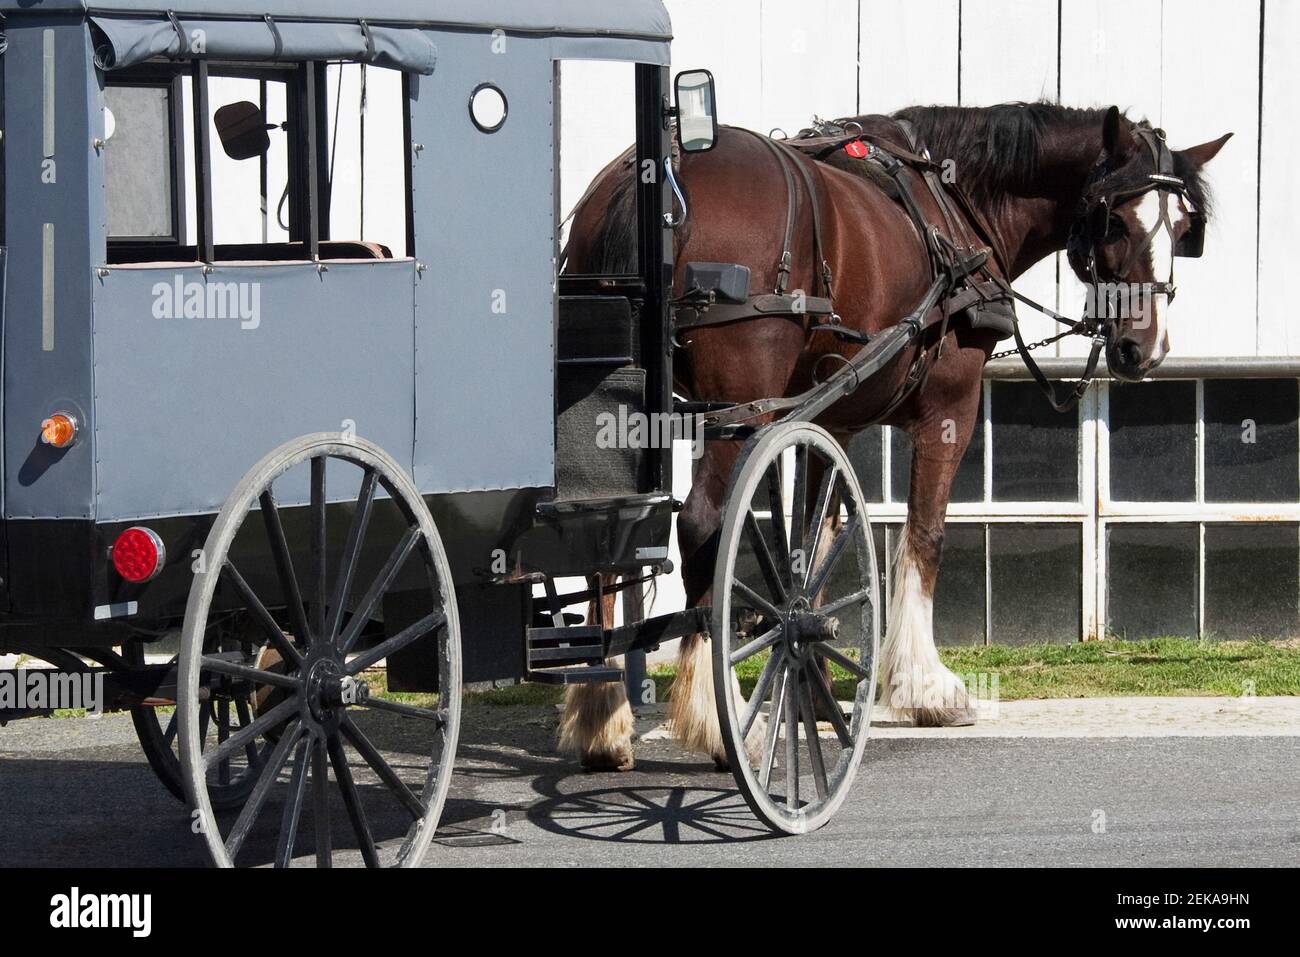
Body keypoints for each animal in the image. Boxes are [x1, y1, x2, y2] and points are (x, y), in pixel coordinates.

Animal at [558, 101, 1230, 771]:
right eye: (1114, 221)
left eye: (1183, 230)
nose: (1145, 349)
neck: (957, 203)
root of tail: (654, 171)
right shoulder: (950, 409)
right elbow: (924, 537)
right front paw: (926, 689)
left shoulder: (831, 418)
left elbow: (818, 539)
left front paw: (815, 678)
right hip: (737, 409)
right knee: (702, 520)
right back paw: (717, 727)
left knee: (604, 526)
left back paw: (603, 719)